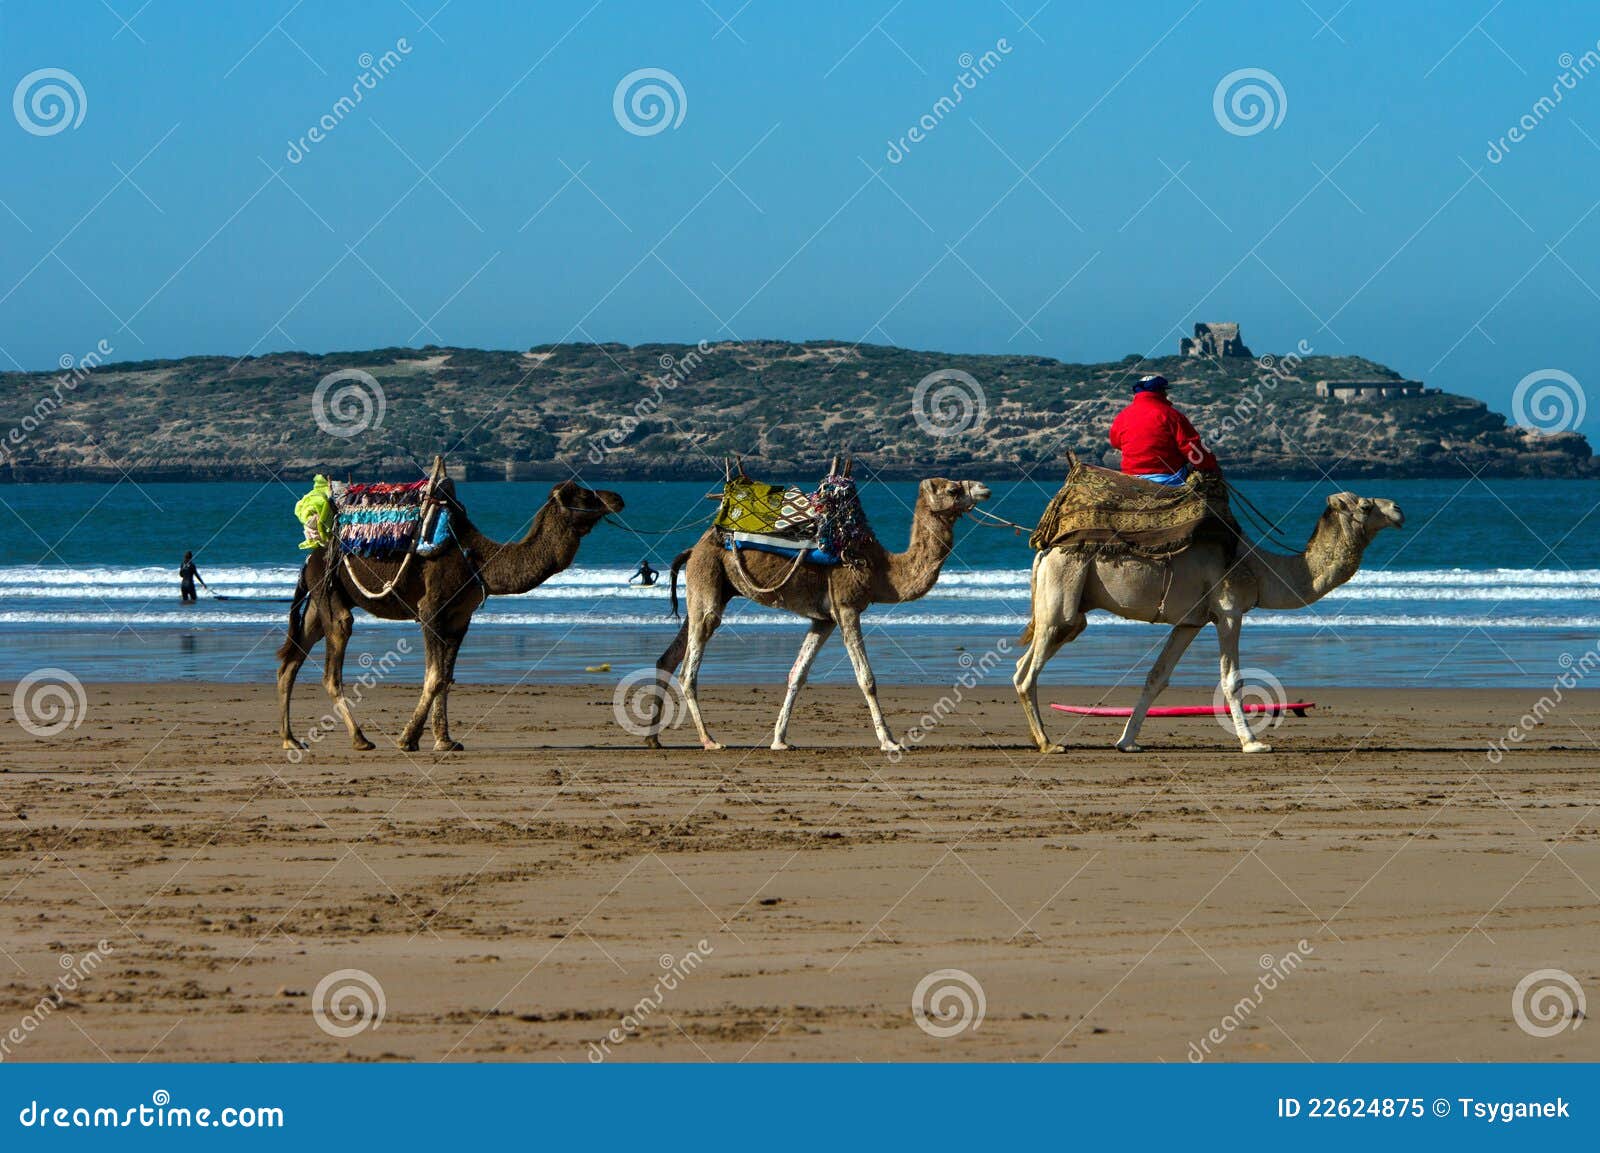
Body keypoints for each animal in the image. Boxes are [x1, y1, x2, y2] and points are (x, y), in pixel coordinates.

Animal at [278, 477, 623, 753]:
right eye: (585, 496)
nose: (617, 497)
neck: (480, 561)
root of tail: (310, 559)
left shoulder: (459, 619)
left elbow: (446, 677)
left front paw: (444, 740)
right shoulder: (431, 611)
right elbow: (434, 676)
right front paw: (408, 739)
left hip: (321, 603)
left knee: (289, 663)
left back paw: (290, 739)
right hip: (329, 594)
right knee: (332, 665)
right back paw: (360, 739)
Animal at [645, 476, 991, 753]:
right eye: (953, 488)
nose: (984, 488)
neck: (883, 570)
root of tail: (693, 550)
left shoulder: (823, 620)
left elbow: (797, 674)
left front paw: (779, 740)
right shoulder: (847, 607)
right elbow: (867, 678)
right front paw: (889, 741)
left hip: (709, 588)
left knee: (669, 656)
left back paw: (653, 738)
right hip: (708, 580)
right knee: (689, 665)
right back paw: (709, 740)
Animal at [1014, 492, 1403, 754]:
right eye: (1366, 506)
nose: (1398, 509)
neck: (1260, 569)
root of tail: (1044, 550)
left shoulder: (1191, 622)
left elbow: (1157, 677)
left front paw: (1127, 741)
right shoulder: (1229, 612)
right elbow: (1232, 679)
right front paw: (1253, 742)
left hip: (1064, 607)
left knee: (1024, 663)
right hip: (1062, 595)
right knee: (1028, 673)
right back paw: (1049, 744)